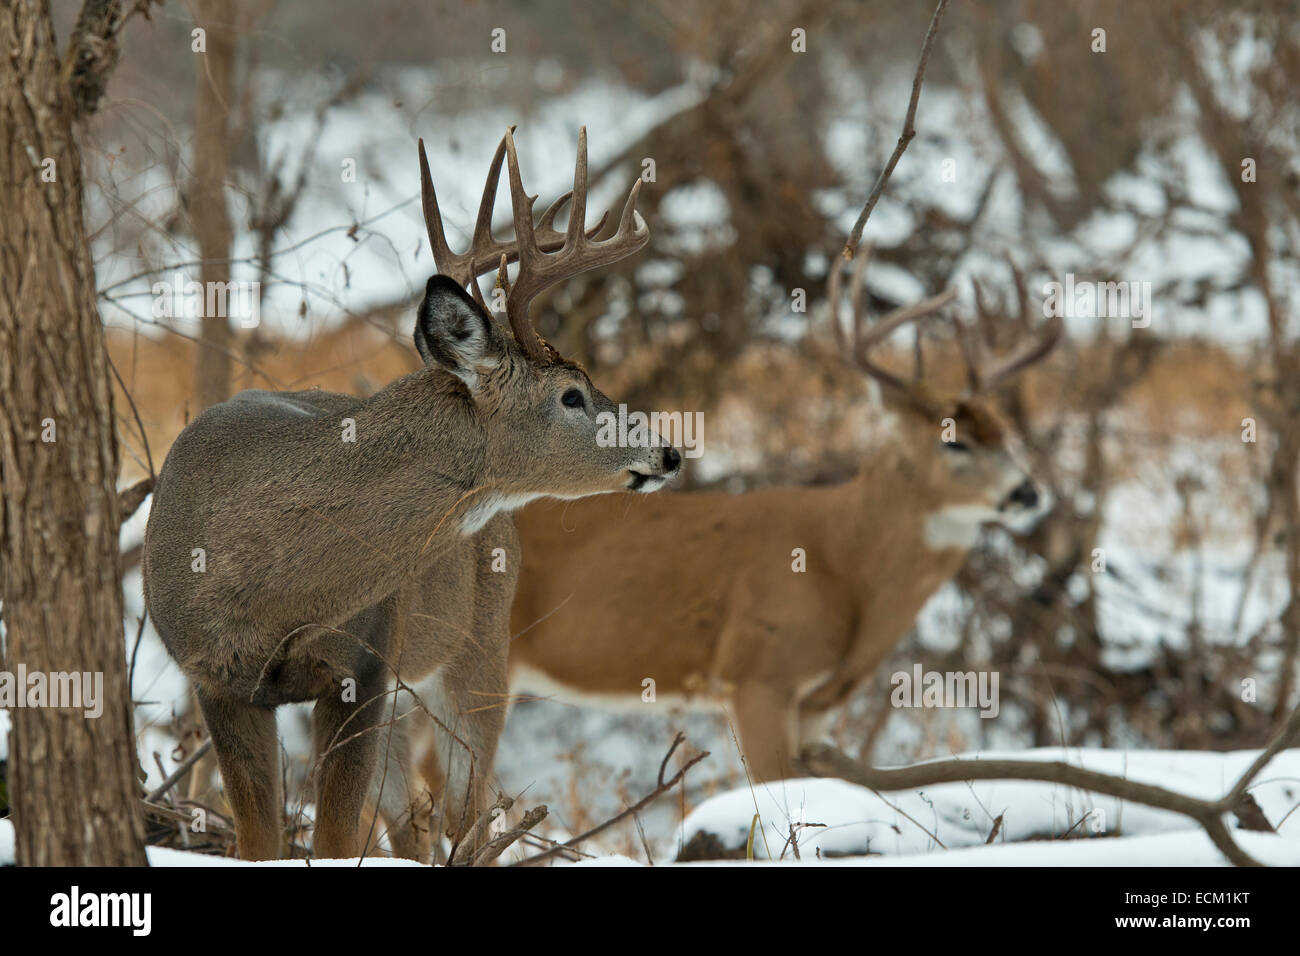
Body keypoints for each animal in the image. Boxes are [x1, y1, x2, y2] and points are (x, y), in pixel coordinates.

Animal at [142, 126, 680, 861]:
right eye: (572, 394)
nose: (668, 450)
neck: (264, 592)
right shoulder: (215, 680)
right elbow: (263, 842)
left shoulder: (366, 664)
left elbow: (337, 841)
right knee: (417, 825)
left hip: (479, 646)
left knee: (469, 817)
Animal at [504, 252, 1062, 782]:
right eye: (954, 440)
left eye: (1004, 431)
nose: (1029, 492)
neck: (844, 567)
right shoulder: (758, 674)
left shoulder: (817, 704)